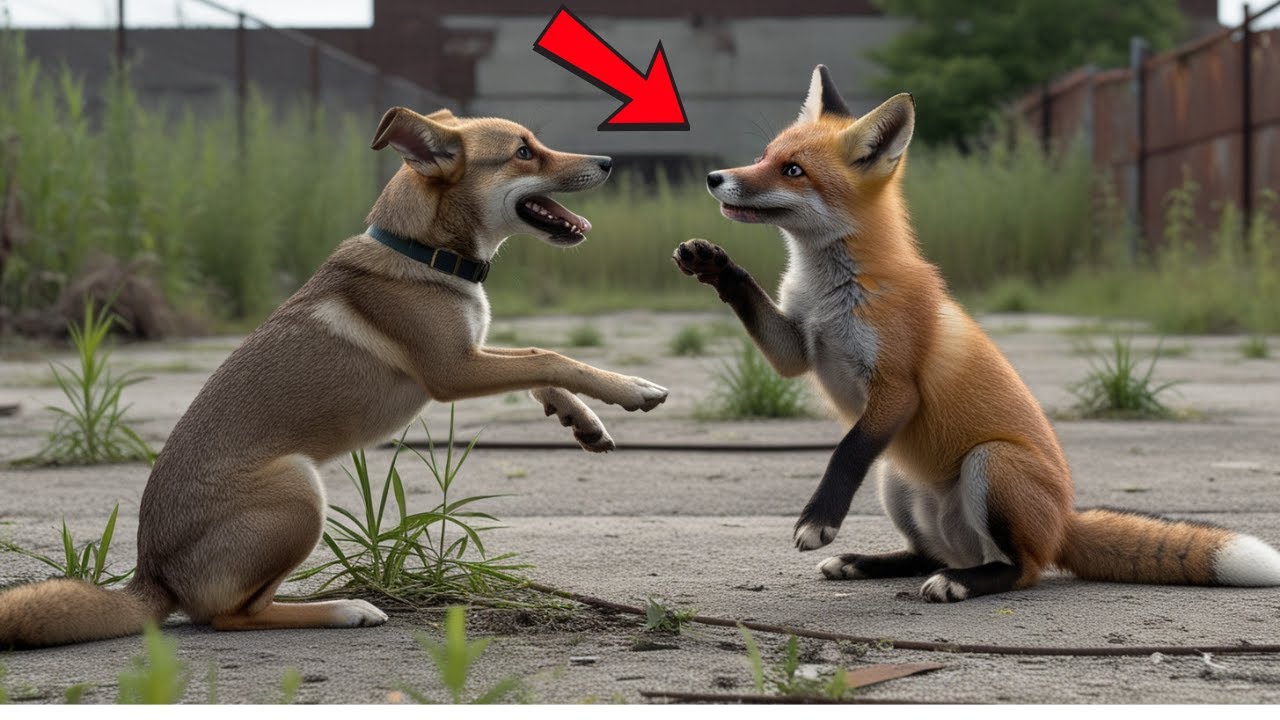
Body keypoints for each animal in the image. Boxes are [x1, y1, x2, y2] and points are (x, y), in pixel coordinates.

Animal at [0, 106, 668, 648]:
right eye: (524, 151)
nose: (609, 161)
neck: (422, 249)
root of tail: (152, 575)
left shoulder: (471, 354)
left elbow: (536, 363)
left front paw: (580, 418)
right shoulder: (453, 371)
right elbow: (550, 354)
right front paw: (632, 388)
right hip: (299, 493)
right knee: (229, 616)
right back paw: (345, 609)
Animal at [673, 65, 1280, 602]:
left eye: (793, 170)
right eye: (765, 156)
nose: (714, 179)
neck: (831, 293)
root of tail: (1063, 522)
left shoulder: (896, 387)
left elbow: (845, 451)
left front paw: (818, 520)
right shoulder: (801, 348)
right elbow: (761, 314)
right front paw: (713, 264)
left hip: (990, 464)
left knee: (1021, 570)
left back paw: (965, 583)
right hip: (895, 479)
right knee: (927, 555)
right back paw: (873, 563)